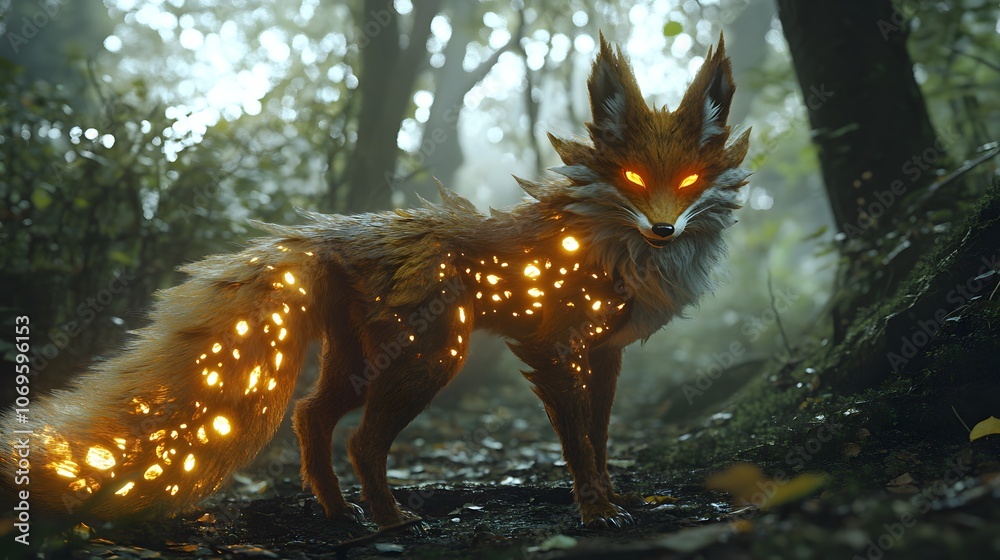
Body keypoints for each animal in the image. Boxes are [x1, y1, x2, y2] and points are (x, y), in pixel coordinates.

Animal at [1, 33, 750, 530]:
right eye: (633, 180)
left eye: (688, 181)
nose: (663, 229)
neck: (609, 244)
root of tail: (330, 232)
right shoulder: (553, 348)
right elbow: (575, 442)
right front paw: (594, 511)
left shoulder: (606, 352)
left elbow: (599, 436)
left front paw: (614, 497)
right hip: (429, 360)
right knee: (360, 441)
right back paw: (390, 520)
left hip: (365, 364)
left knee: (310, 416)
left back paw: (337, 512)